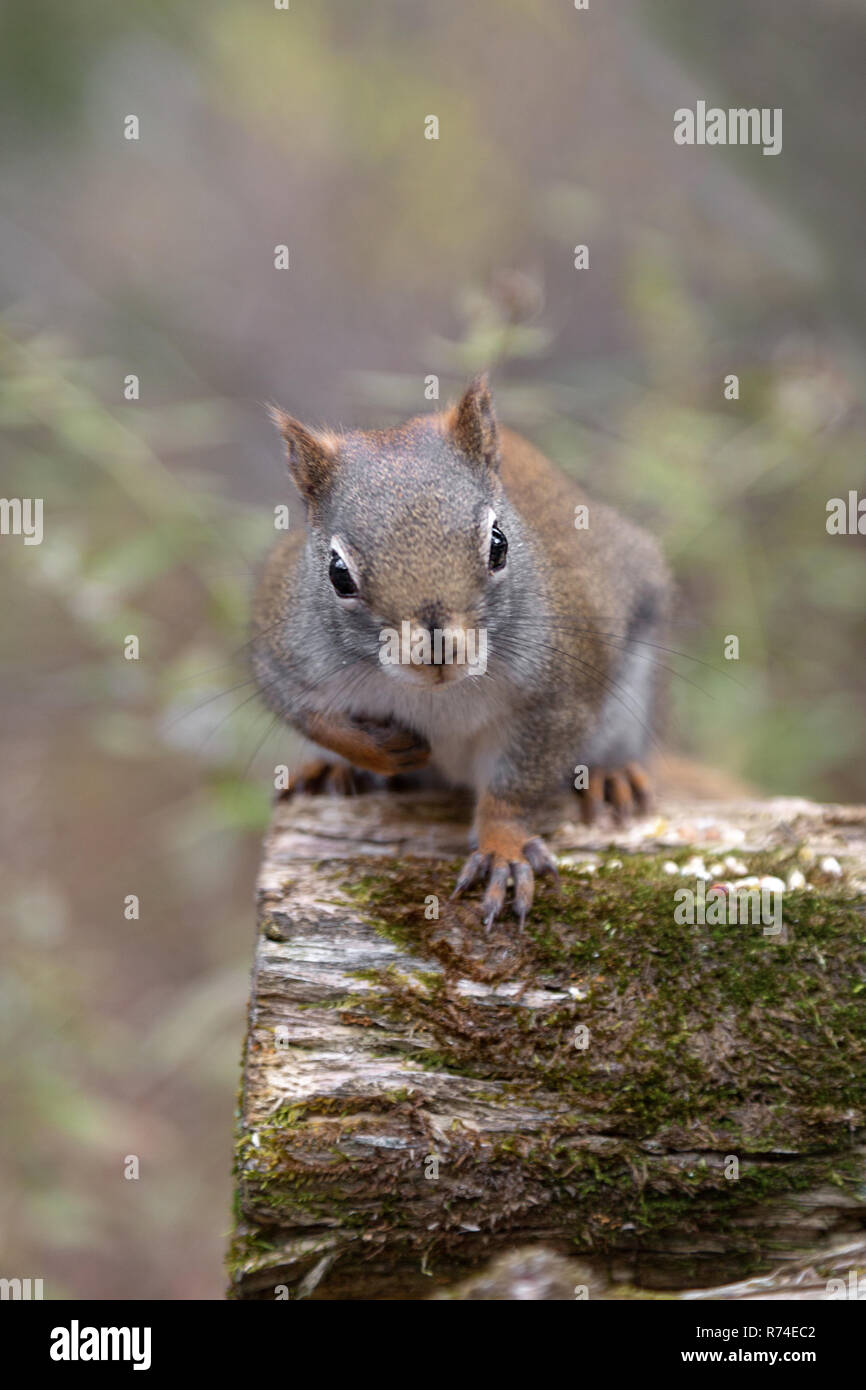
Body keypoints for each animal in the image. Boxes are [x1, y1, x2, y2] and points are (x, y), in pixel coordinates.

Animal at [251, 375, 672, 927]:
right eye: (337, 573)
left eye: (499, 543)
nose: (436, 646)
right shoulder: (284, 652)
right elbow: (303, 712)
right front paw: (376, 750)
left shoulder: (560, 691)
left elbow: (518, 784)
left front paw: (503, 849)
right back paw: (329, 770)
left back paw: (611, 773)